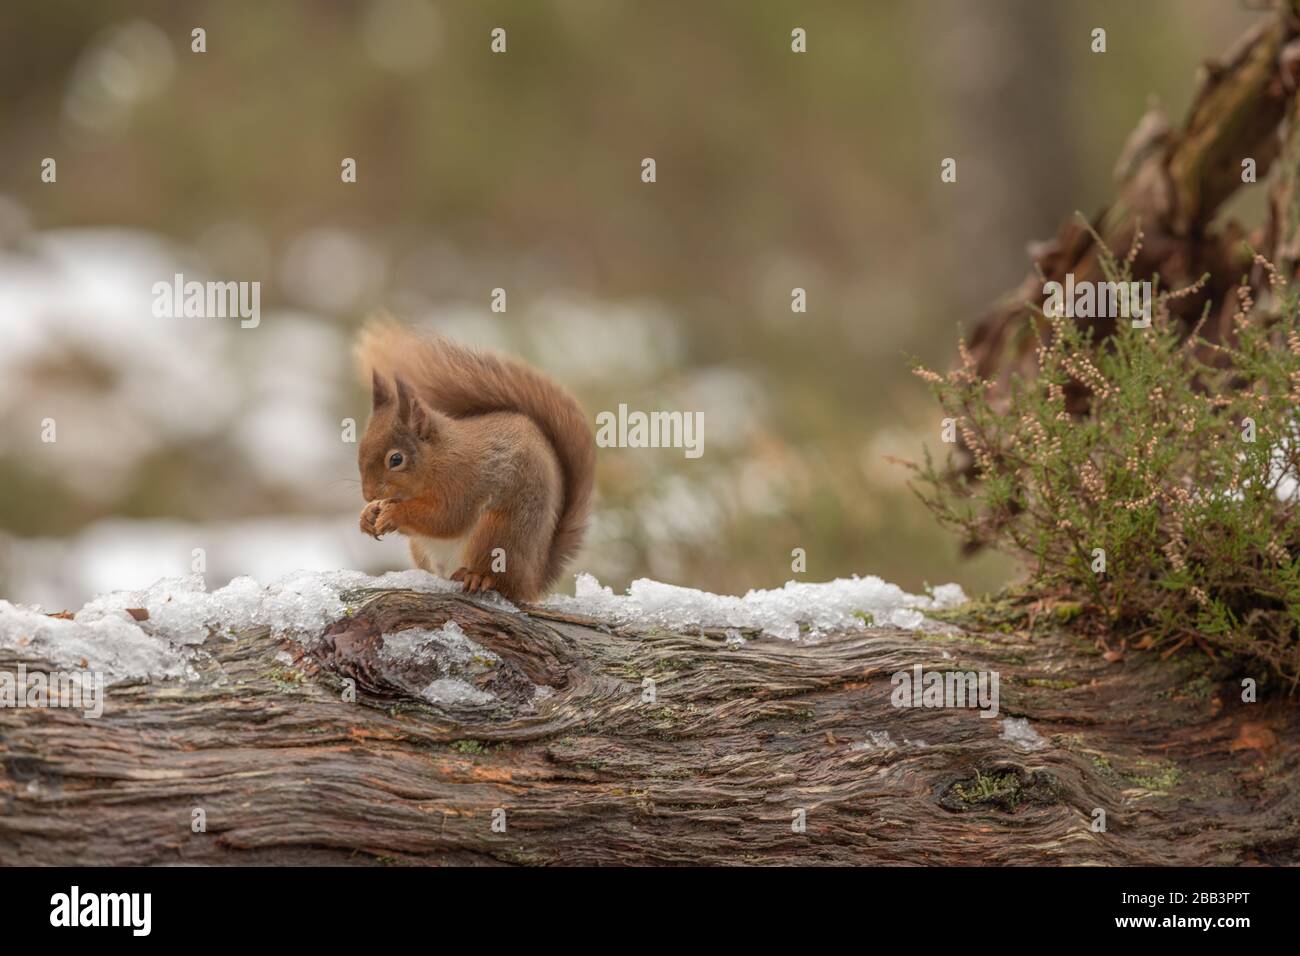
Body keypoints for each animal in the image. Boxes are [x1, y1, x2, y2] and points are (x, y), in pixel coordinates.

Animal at [354, 317, 595, 603]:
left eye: (396, 459)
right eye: (361, 449)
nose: (368, 495)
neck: (438, 458)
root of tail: (532, 581)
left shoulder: (463, 482)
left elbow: (447, 517)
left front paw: (393, 513)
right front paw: (369, 514)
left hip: (497, 534)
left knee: (499, 579)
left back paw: (477, 577)